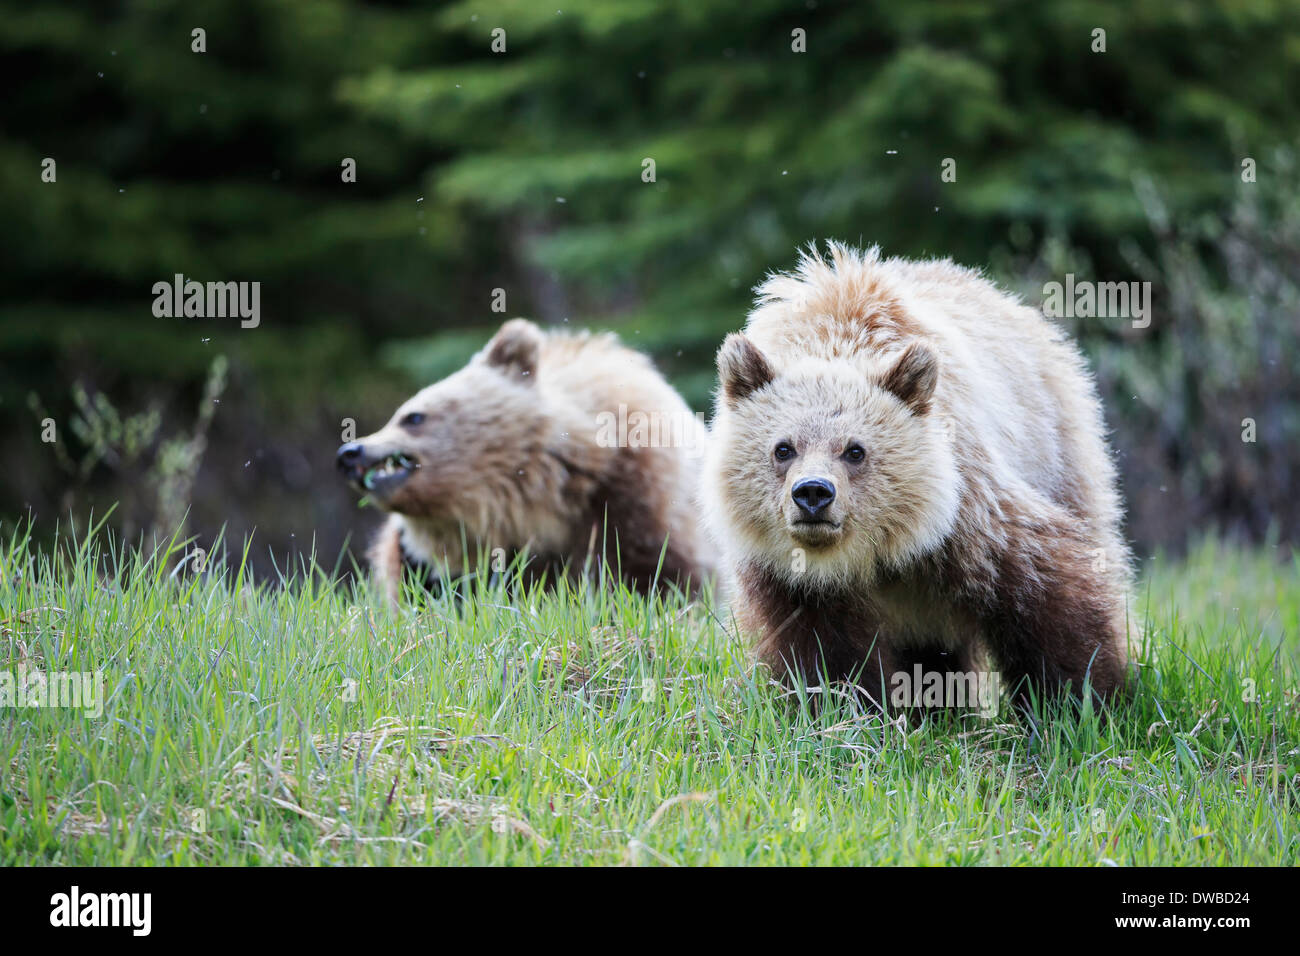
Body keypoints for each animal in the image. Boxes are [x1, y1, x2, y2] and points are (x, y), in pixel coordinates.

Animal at [703, 242, 1133, 712]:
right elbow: (825, 652)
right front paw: (847, 706)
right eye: (783, 448)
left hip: (1059, 453)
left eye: (855, 450)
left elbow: (1046, 591)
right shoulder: (790, 578)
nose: (813, 493)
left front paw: (1083, 699)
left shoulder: (969, 511)